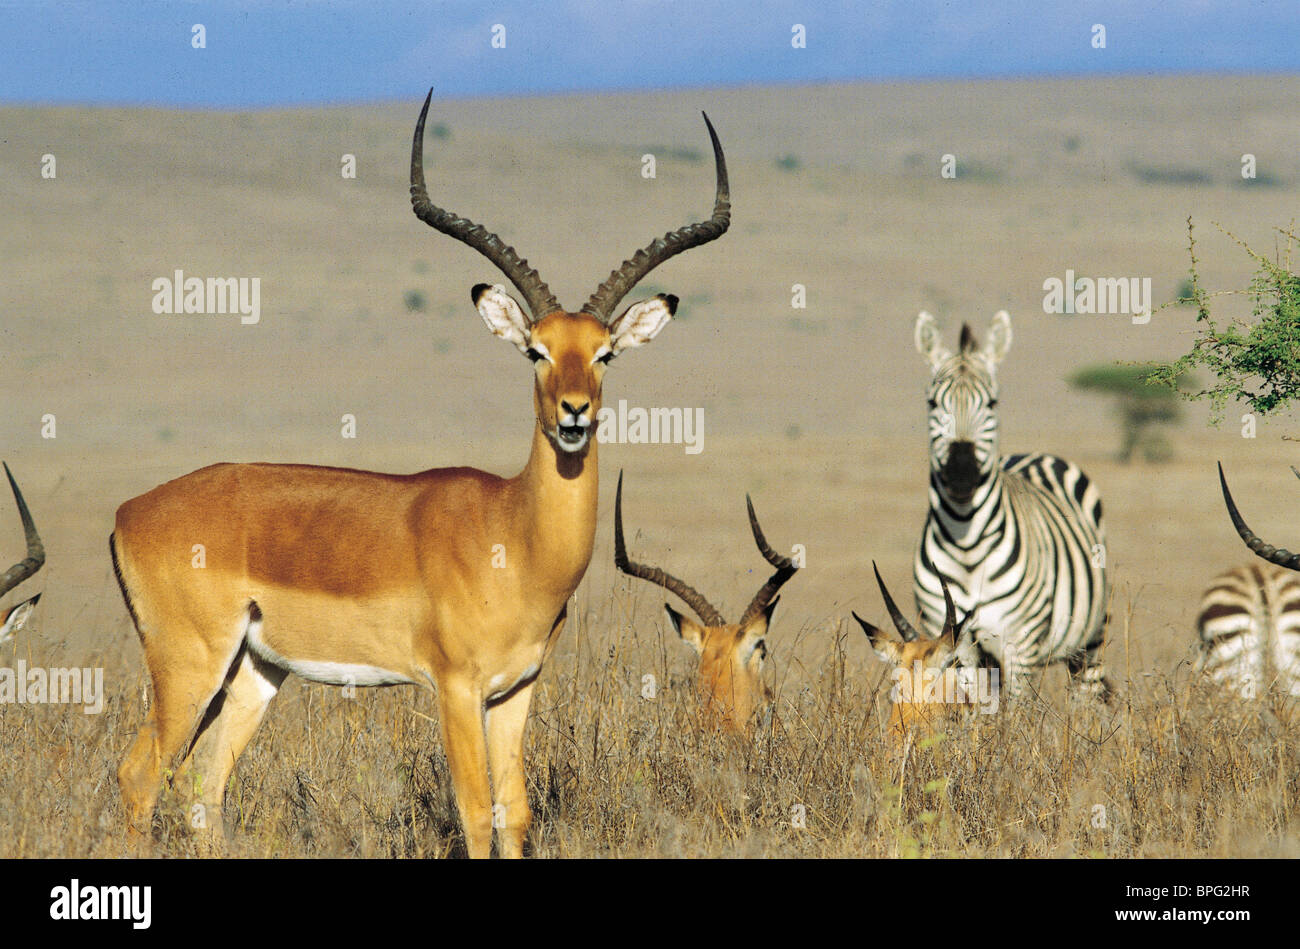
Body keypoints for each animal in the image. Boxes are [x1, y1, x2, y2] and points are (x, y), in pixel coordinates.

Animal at [111, 90, 730, 858]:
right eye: (535, 351)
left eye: (605, 353)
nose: (574, 413)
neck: (513, 536)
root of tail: (127, 512)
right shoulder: (456, 687)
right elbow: (473, 809)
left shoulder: (515, 689)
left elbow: (514, 810)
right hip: (189, 665)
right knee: (140, 775)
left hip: (256, 670)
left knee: (201, 785)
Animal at [911, 310, 1110, 699]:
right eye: (932, 403)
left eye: (991, 403)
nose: (961, 475)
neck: (966, 547)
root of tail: (1035, 454)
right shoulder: (958, 645)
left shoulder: (1021, 645)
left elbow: (1017, 714)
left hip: (1088, 642)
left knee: (1085, 696)